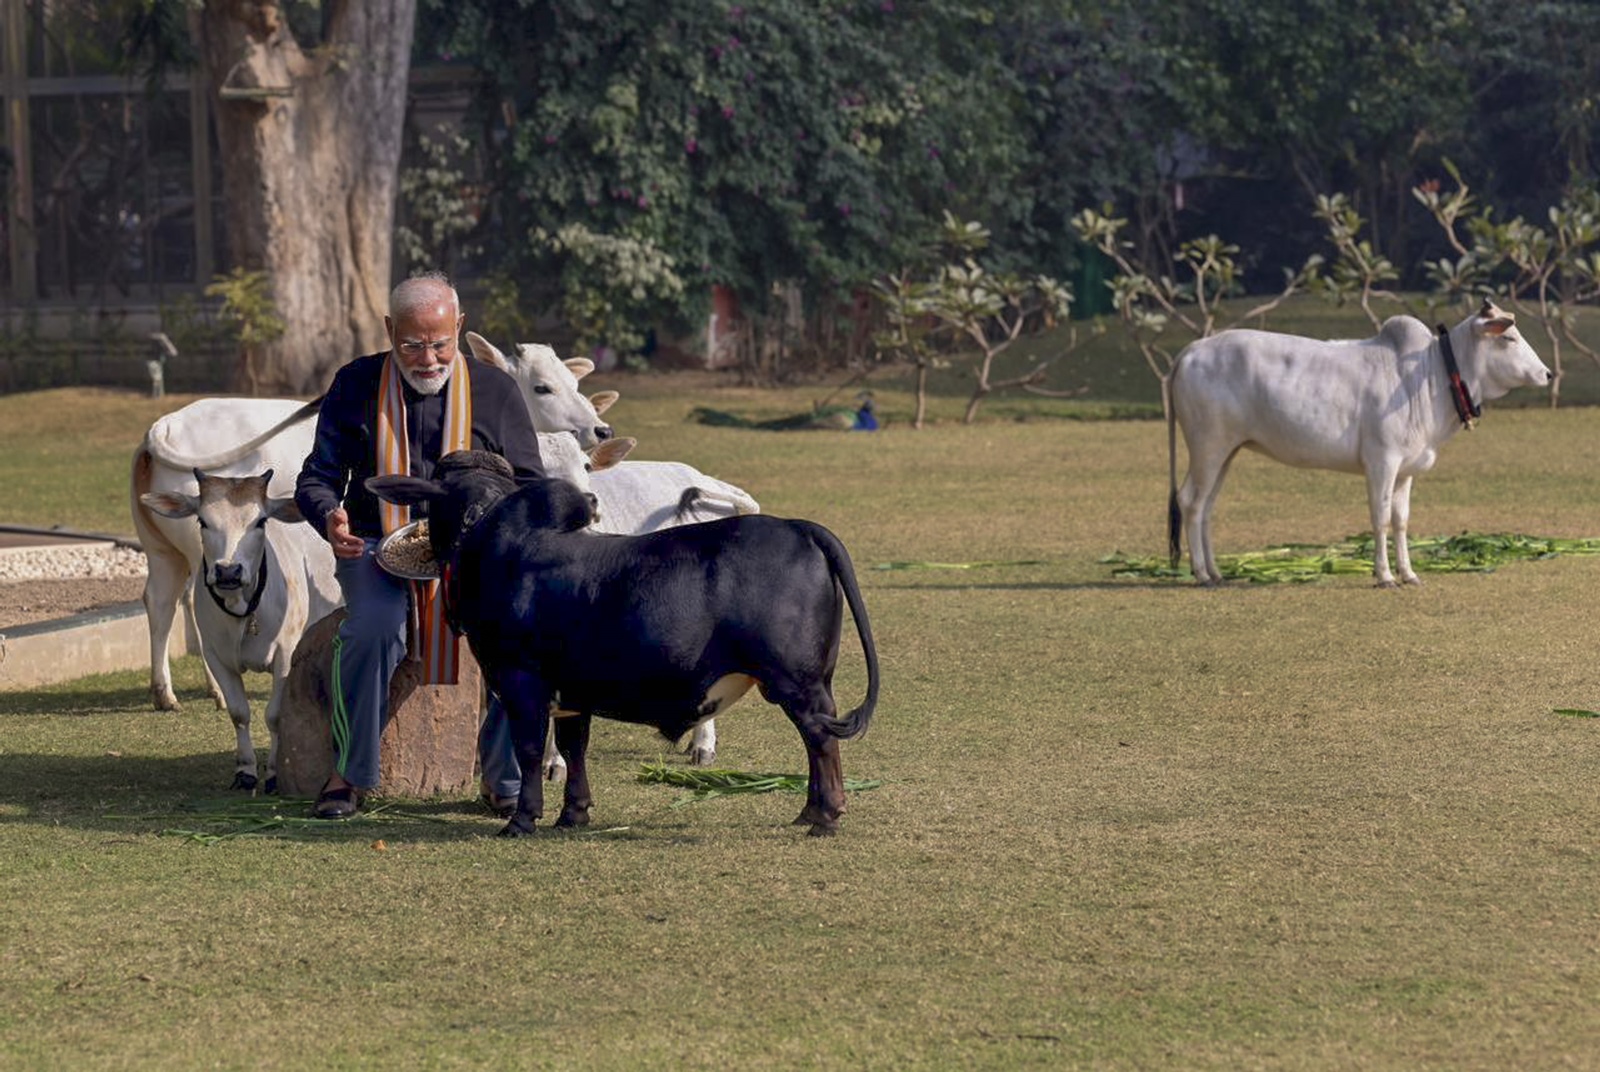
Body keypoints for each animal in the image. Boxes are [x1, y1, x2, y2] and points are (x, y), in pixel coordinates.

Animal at [139, 470, 341, 791]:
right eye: (202, 521)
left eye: (260, 521)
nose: (228, 571)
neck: (242, 612)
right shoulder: (216, 656)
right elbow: (239, 713)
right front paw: (245, 771)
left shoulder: (286, 655)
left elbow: (274, 715)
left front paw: (273, 772)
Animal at [367, 450, 879, 837]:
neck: (491, 543)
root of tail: (799, 526)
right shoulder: (572, 693)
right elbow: (573, 748)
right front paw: (573, 813)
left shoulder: (520, 680)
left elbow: (530, 750)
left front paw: (522, 819)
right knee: (817, 738)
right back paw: (809, 810)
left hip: (796, 681)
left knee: (819, 737)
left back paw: (825, 815)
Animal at [1167, 298, 1553, 588]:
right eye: (1509, 338)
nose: (1548, 373)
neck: (1429, 375)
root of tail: (1192, 349)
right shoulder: (1382, 462)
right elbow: (1380, 517)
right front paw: (1384, 576)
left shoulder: (1405, 470)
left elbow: (1400, 519)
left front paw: (1409, 573)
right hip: (1208, 446)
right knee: (1190, 501)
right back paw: (1201, 573)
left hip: (1227, 451)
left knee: (1207, 506)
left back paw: (1215, 571)